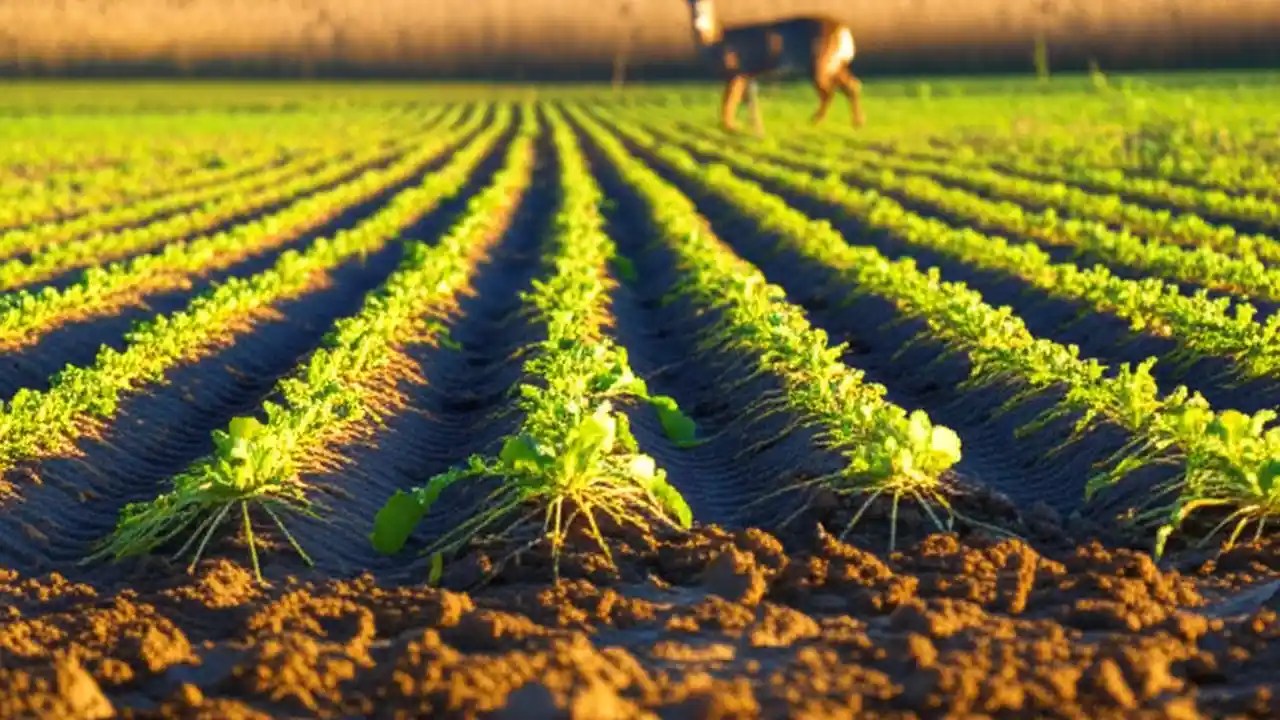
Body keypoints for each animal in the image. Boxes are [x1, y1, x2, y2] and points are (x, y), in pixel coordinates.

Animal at [683, 0, 864, 135]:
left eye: (707, 3)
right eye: (689, 3)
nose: (698, 21)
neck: (716, 41)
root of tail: (843, 30)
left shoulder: (737, 71)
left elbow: (729, 100)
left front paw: (731, 127)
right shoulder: (743, 74)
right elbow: (738, 100)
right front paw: (741, 126)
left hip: (820, 63)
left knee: (829, 92)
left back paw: (814, 121)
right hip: (836, 64)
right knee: (852, 85)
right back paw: (858, 123)